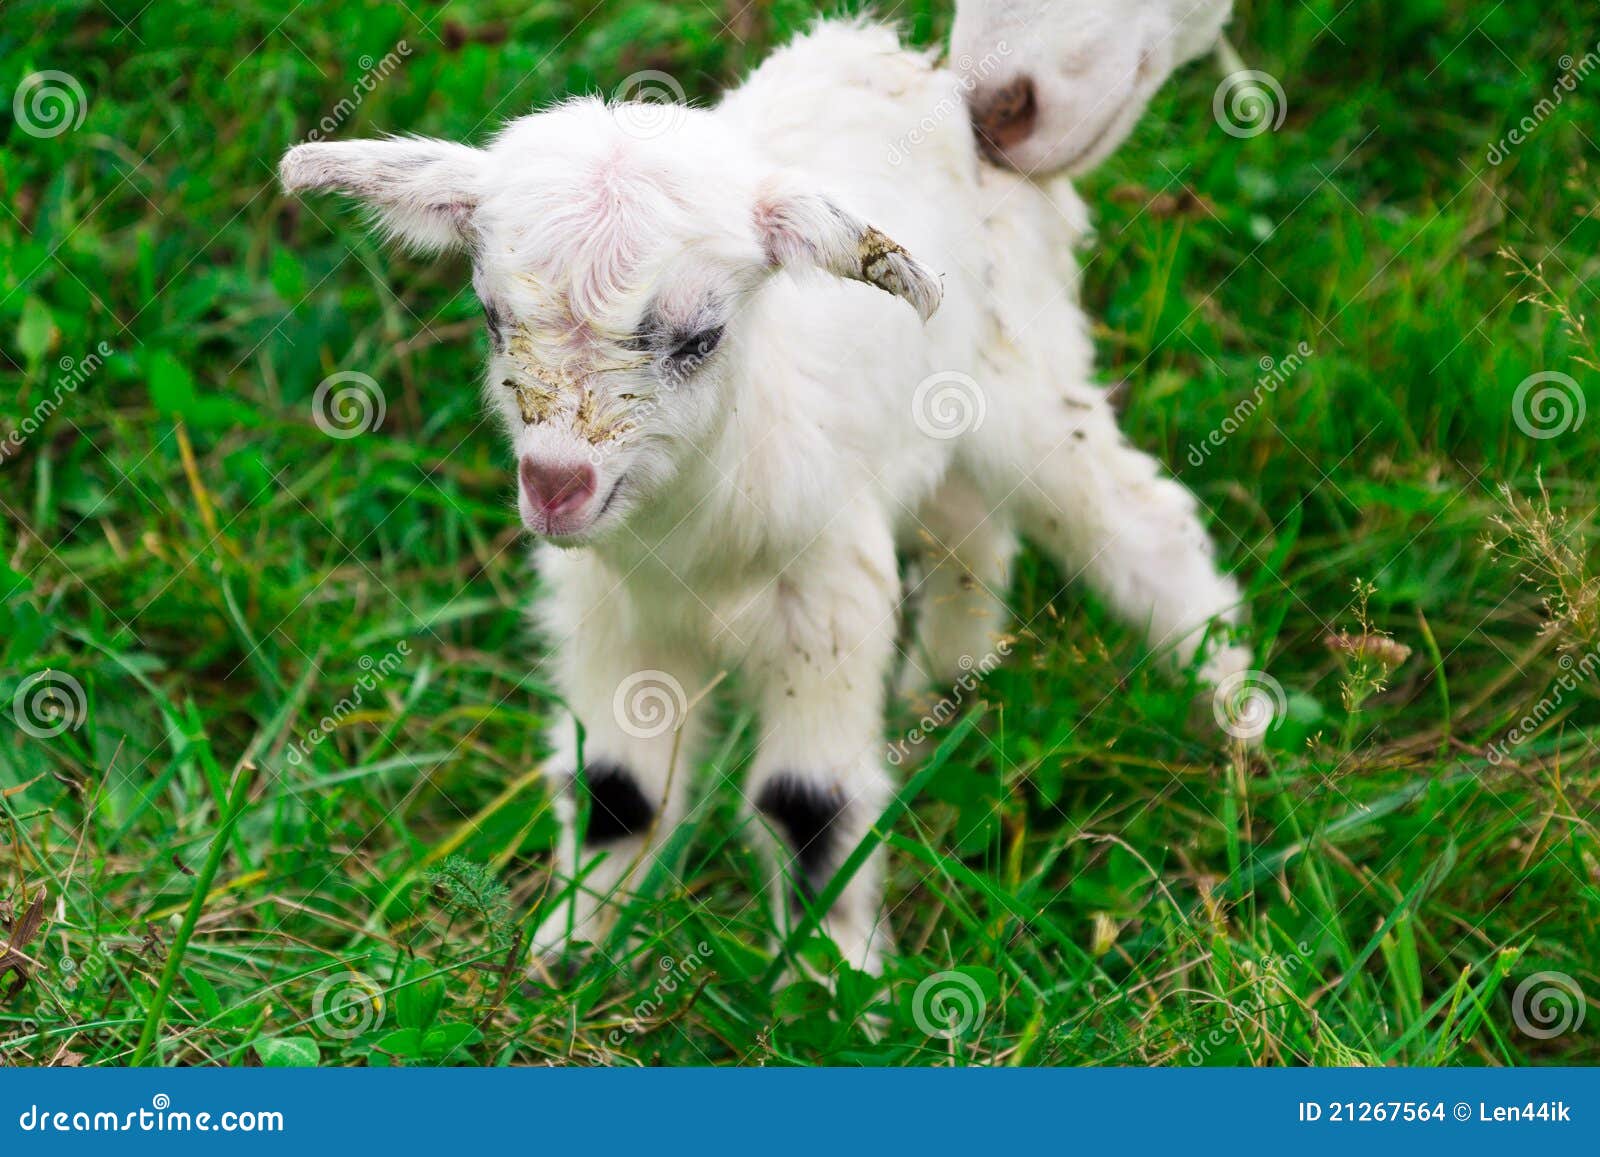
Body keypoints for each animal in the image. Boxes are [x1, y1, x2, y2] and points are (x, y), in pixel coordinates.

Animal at [279, 19, 1250, 975]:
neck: (694, 536)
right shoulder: (613, 612)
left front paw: (834, 982)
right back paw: (943, 687)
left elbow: (807, 803)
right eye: (490, 318)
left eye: (701, 337)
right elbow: (618, 791)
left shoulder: (824, 603)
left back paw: (1240, 714)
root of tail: (906, 59)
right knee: (968, 525)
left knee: (1133, 518)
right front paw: (568, 957)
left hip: (1022, 377)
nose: (556, 487)